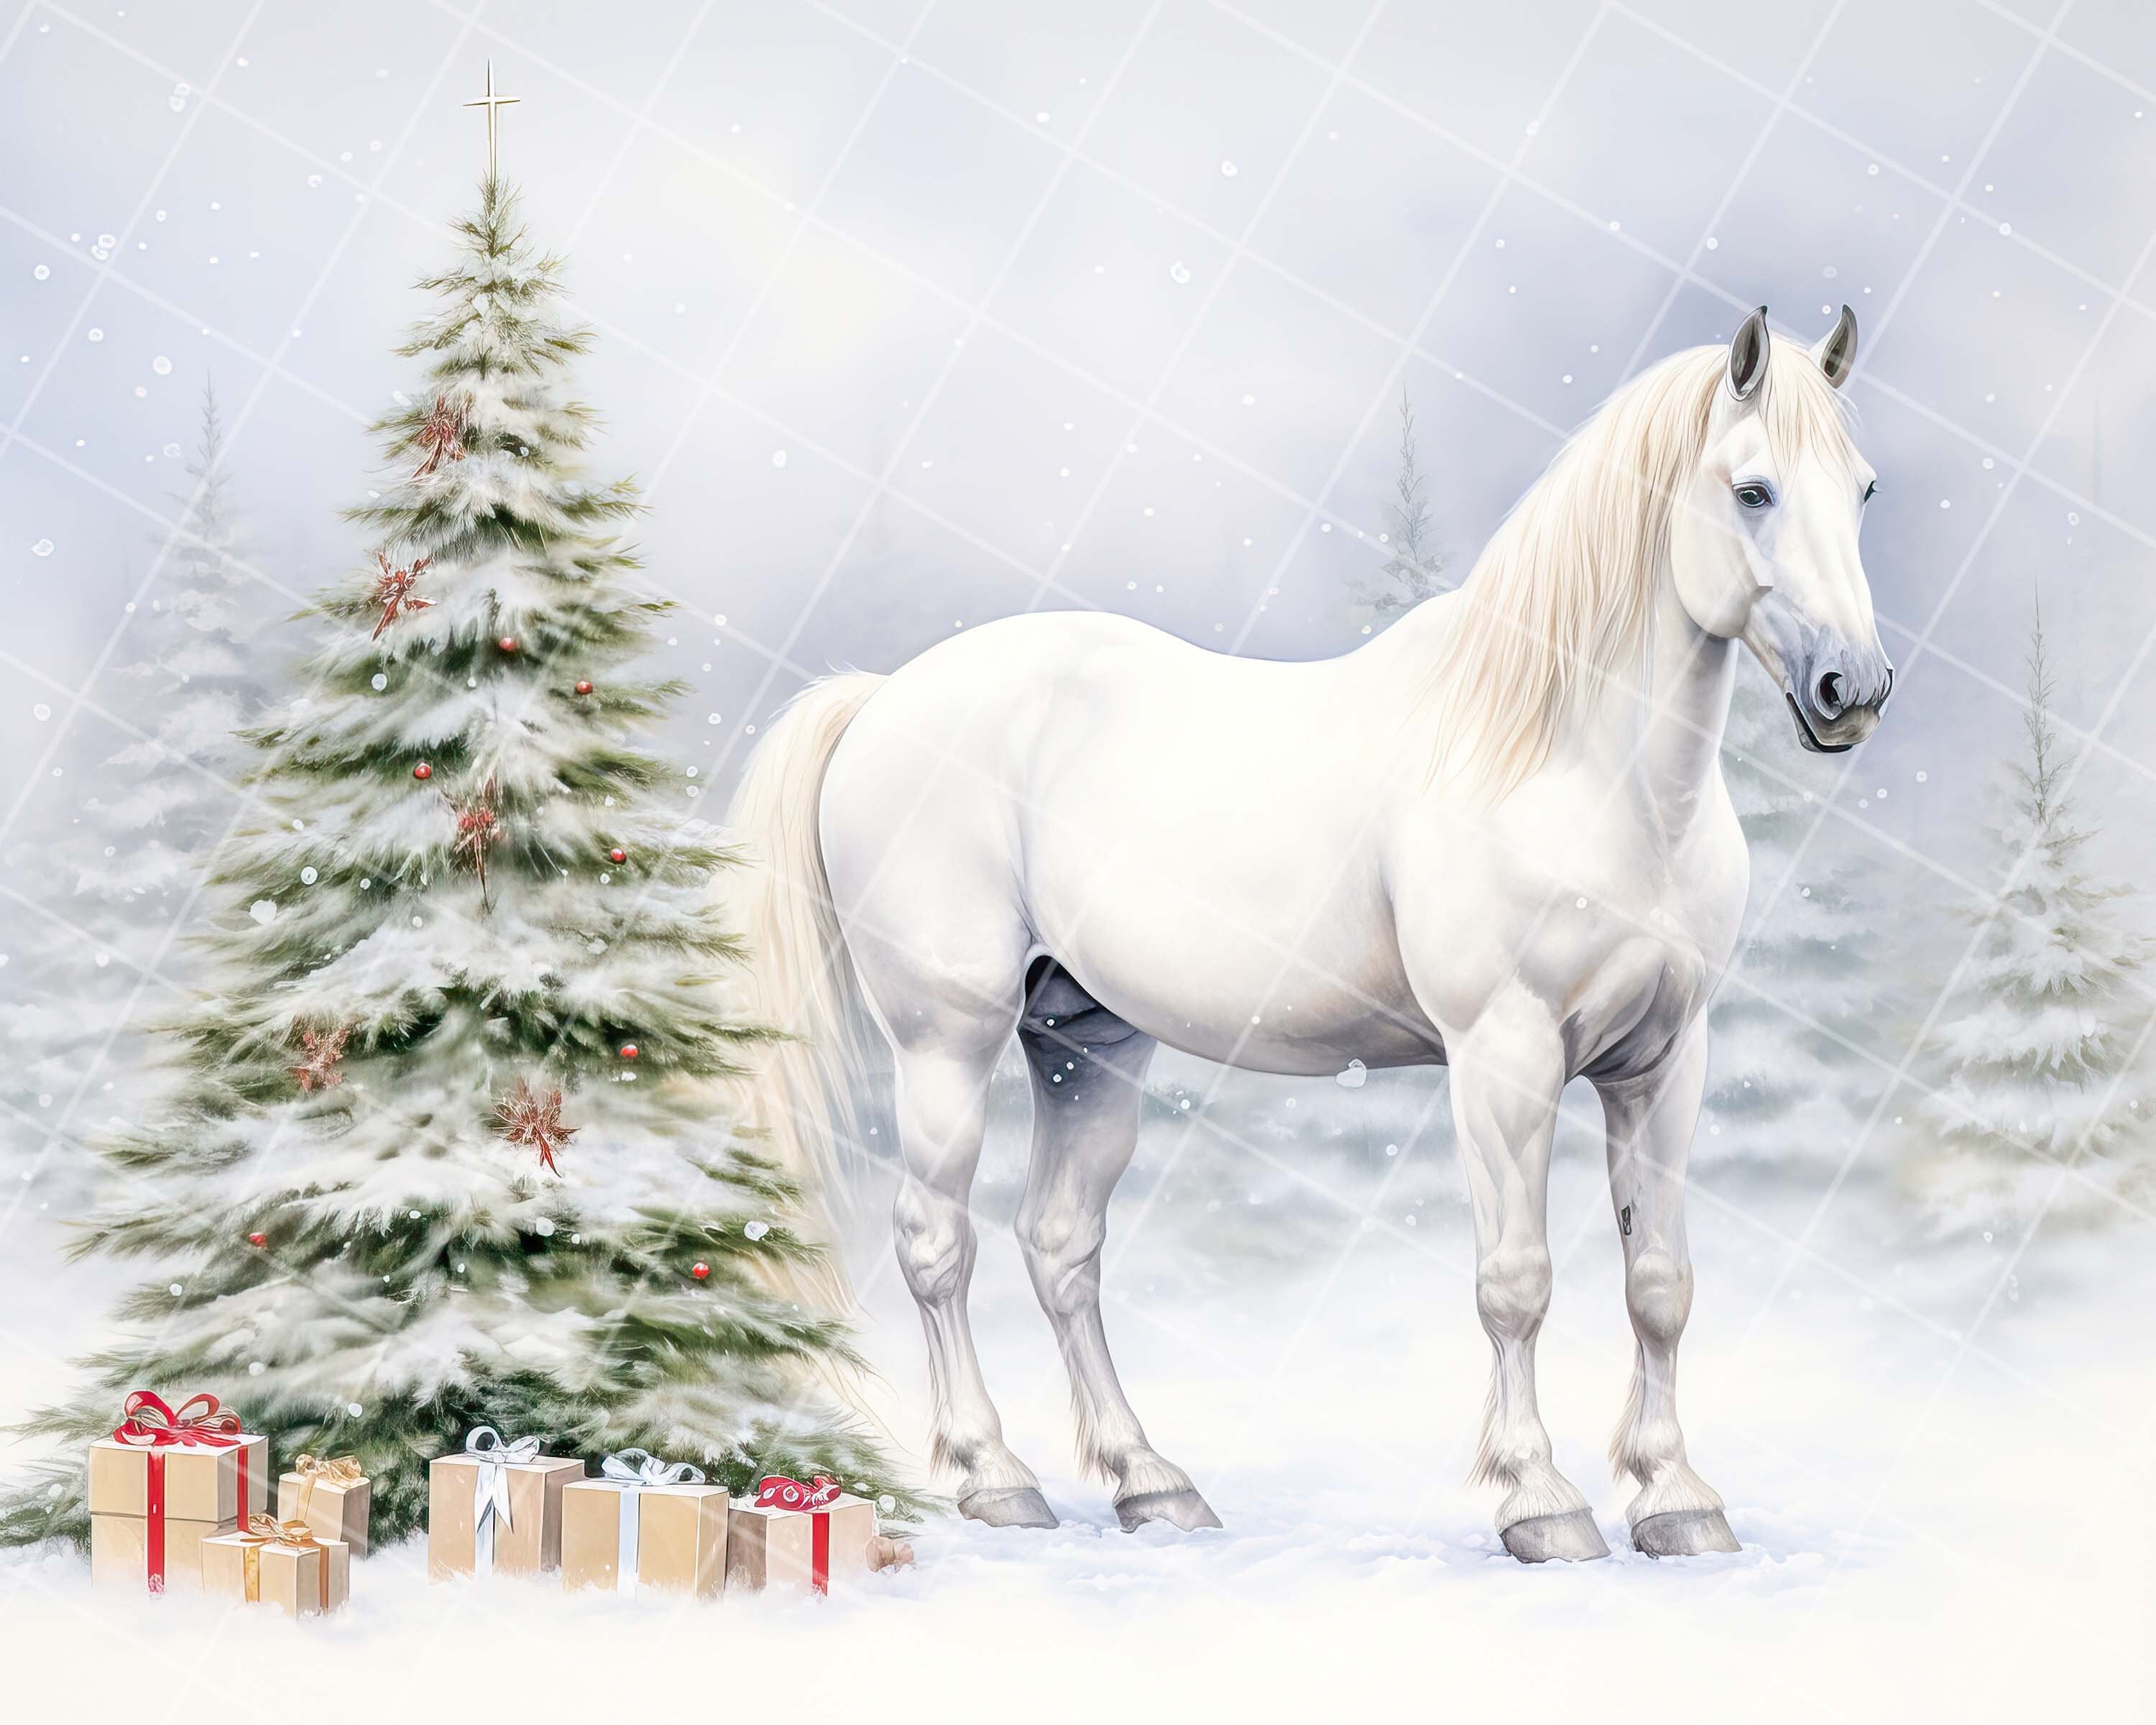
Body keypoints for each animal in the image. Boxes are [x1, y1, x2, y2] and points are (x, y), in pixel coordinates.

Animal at [724, 305, 1890, 1563]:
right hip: (948, 1041)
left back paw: (1151, 1484)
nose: (1854, 689)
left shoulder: (1666, 1061)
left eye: (1864, 489)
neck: (1572, 764)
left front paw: (1677, 1499)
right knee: (939, 1244)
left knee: (1060, 1245)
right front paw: (1542, 1501)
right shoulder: (1505, 1058)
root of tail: (881, 700)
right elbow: (1515, 1281)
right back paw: (996, 1479)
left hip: (1086, 1043)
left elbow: (1661, 1283)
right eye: (1754, 490)